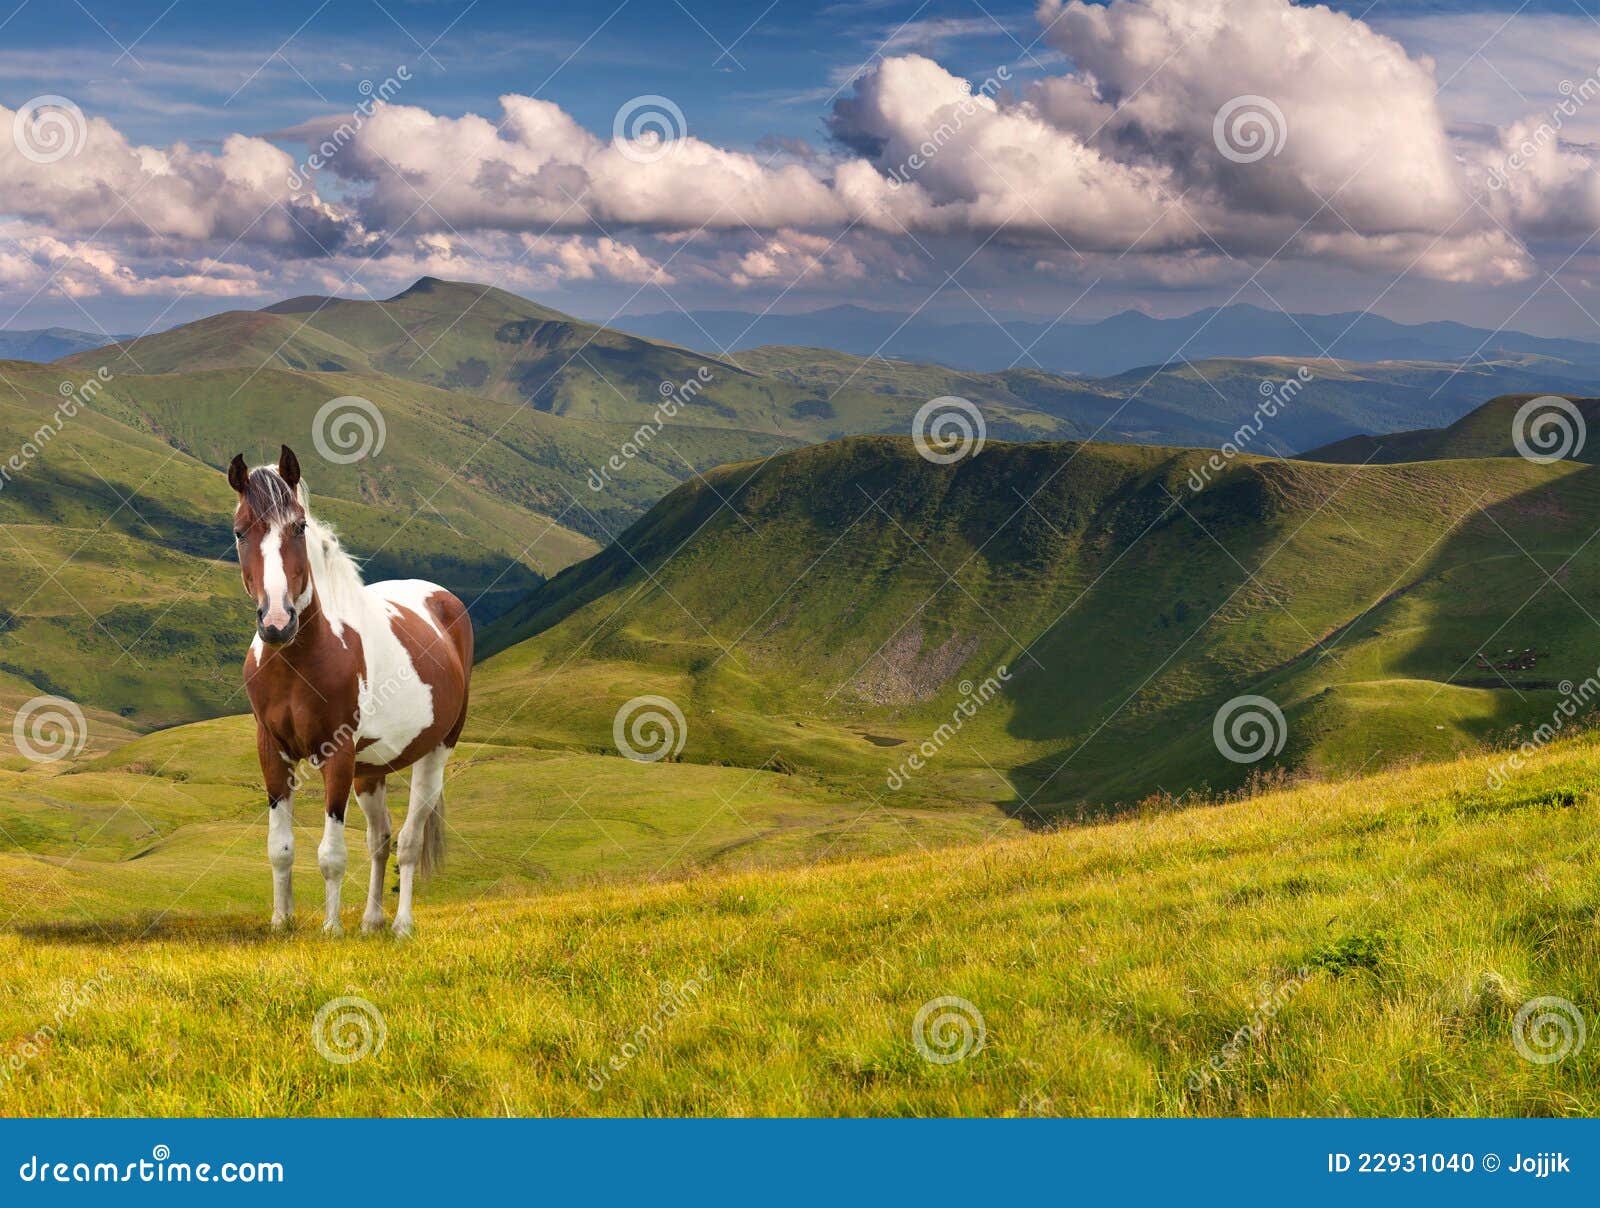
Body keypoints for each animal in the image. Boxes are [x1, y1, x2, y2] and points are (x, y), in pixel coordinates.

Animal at [227, 445, 472, 936]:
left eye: (299, 526)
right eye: (240, 531)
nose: (277, 622)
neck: (300, 660)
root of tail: (441, 598)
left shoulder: (336, 754)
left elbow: (332, 855)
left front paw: (330, 929)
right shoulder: (272, 750)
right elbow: (280, 848)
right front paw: (281, 922)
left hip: (435, 751)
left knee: (409, 841)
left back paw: (401, 925)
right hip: (369, 770)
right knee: (380, 839)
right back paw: (371, 920)